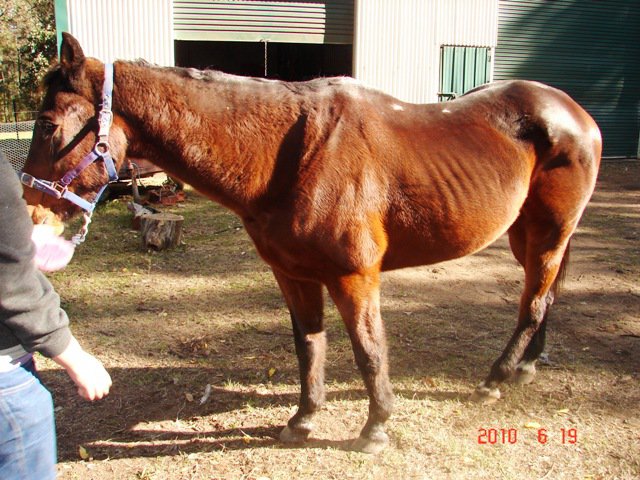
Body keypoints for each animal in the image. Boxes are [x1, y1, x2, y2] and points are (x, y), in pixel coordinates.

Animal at [22, 33, 601, 454]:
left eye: (48, 125)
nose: (28, 210)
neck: (289, 154)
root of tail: (572, 111)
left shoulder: (354, 277)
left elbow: (369, 351)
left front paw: (375, 429)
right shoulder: (293, 274)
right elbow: (309, 347)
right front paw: (302, 421)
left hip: (547, 234)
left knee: (535, 301)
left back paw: (496, 378)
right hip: (530, 235)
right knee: (542, 296)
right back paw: (524, 367)